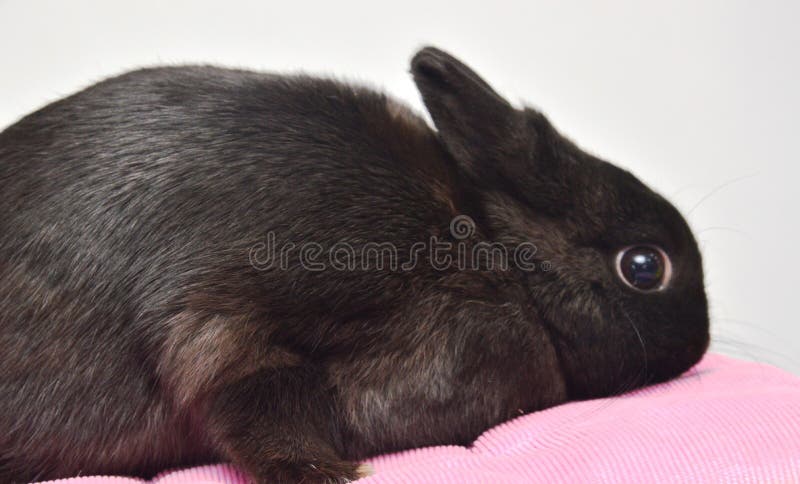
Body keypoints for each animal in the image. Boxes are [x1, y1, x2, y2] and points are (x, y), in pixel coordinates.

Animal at [0, 46, 709, 483]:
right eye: (645, 267)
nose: (701, 343)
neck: (500, 255)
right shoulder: (251, 306)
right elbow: (240, 381)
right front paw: (325, 471)